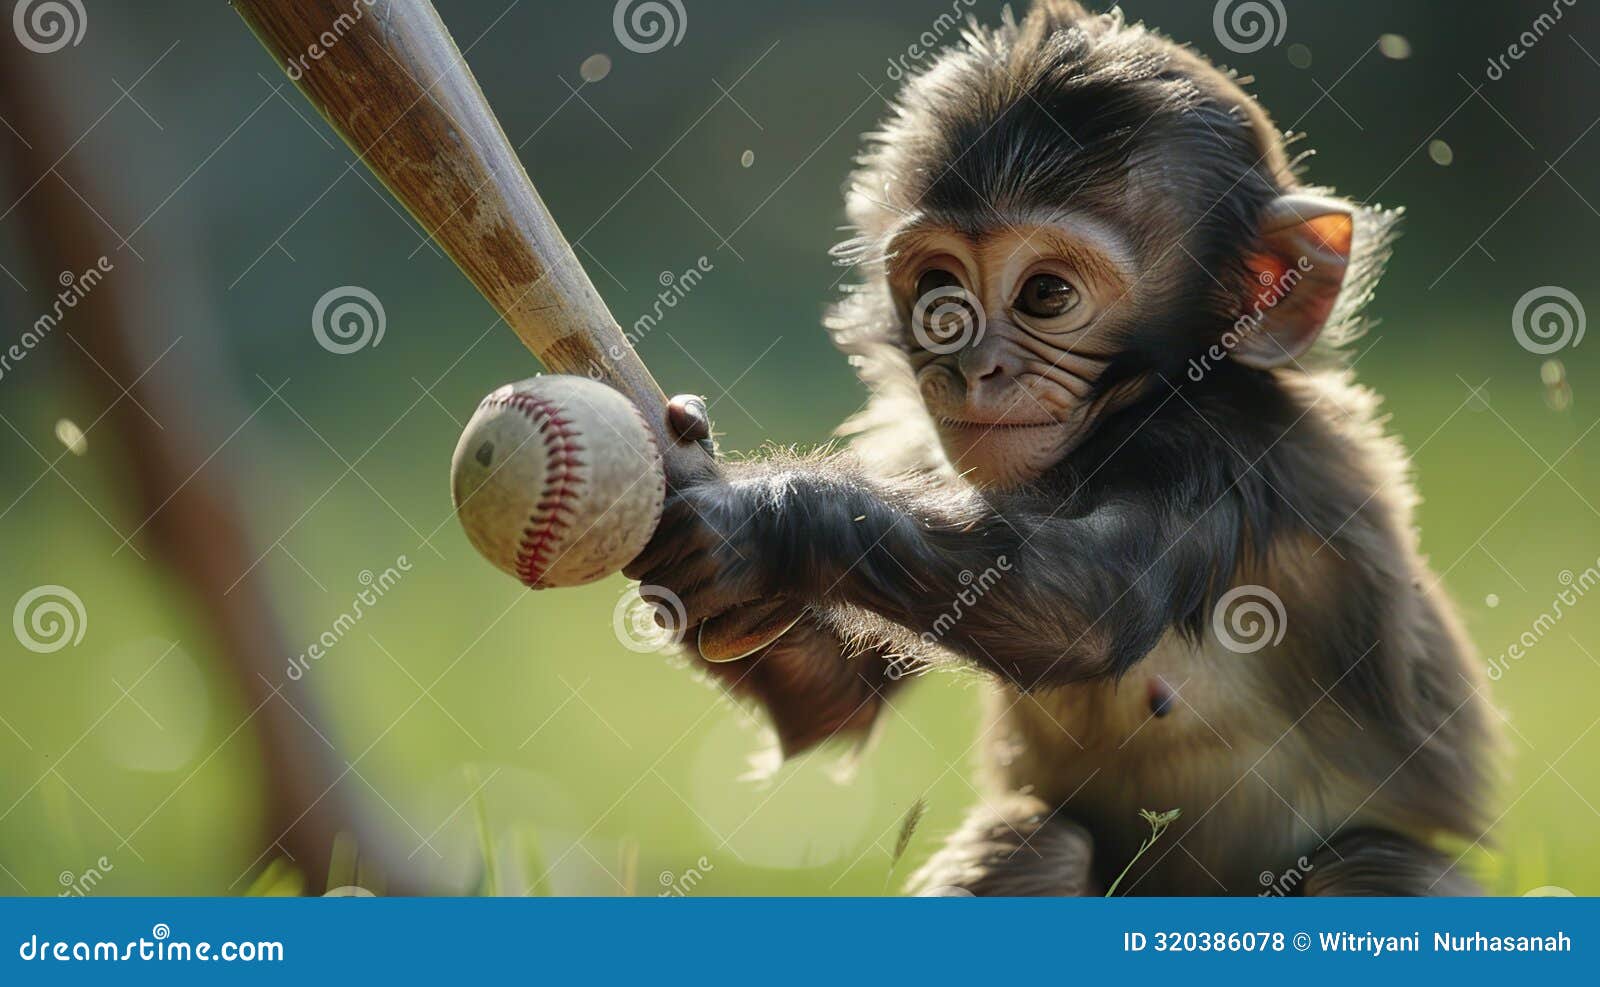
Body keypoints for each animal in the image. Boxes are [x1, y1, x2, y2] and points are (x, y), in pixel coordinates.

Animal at [627, 0, 1498, 896]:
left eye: (1047, 294)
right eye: (939, 292)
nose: (972, 364)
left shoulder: (1216, 444)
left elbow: (1091, 602)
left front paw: (755, 518)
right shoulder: (924, 450)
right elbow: (830, 698)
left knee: (1365, 863)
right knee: (1035, 838)